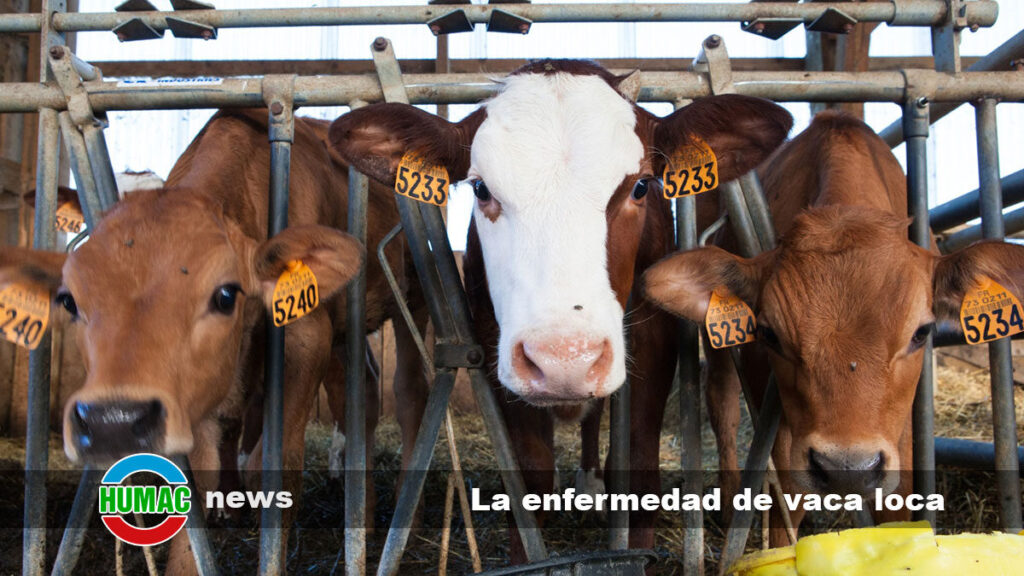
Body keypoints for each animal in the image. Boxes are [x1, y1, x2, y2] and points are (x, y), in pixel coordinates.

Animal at [1, 108, 431, 575]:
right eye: (69, 300)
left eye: (225, 295)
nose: (110, 421)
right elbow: (196, 480)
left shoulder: (305, 339)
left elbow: (275, 465)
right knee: (359, 394)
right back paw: (363, 521)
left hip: (415, 294)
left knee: (410, 392)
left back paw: (405, 523)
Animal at [328, 59, 792, 560]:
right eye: (481, 188)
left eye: (640, 186)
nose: (564, 360)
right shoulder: (495, 347)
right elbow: (530, 482)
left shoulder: (655, 341)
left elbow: (640, 473)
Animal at [643, 111, 1024, 544]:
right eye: (770, 334)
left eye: (922, 332)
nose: (847, 469)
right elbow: (787, 504)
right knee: (722, 401)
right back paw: (727, 502)